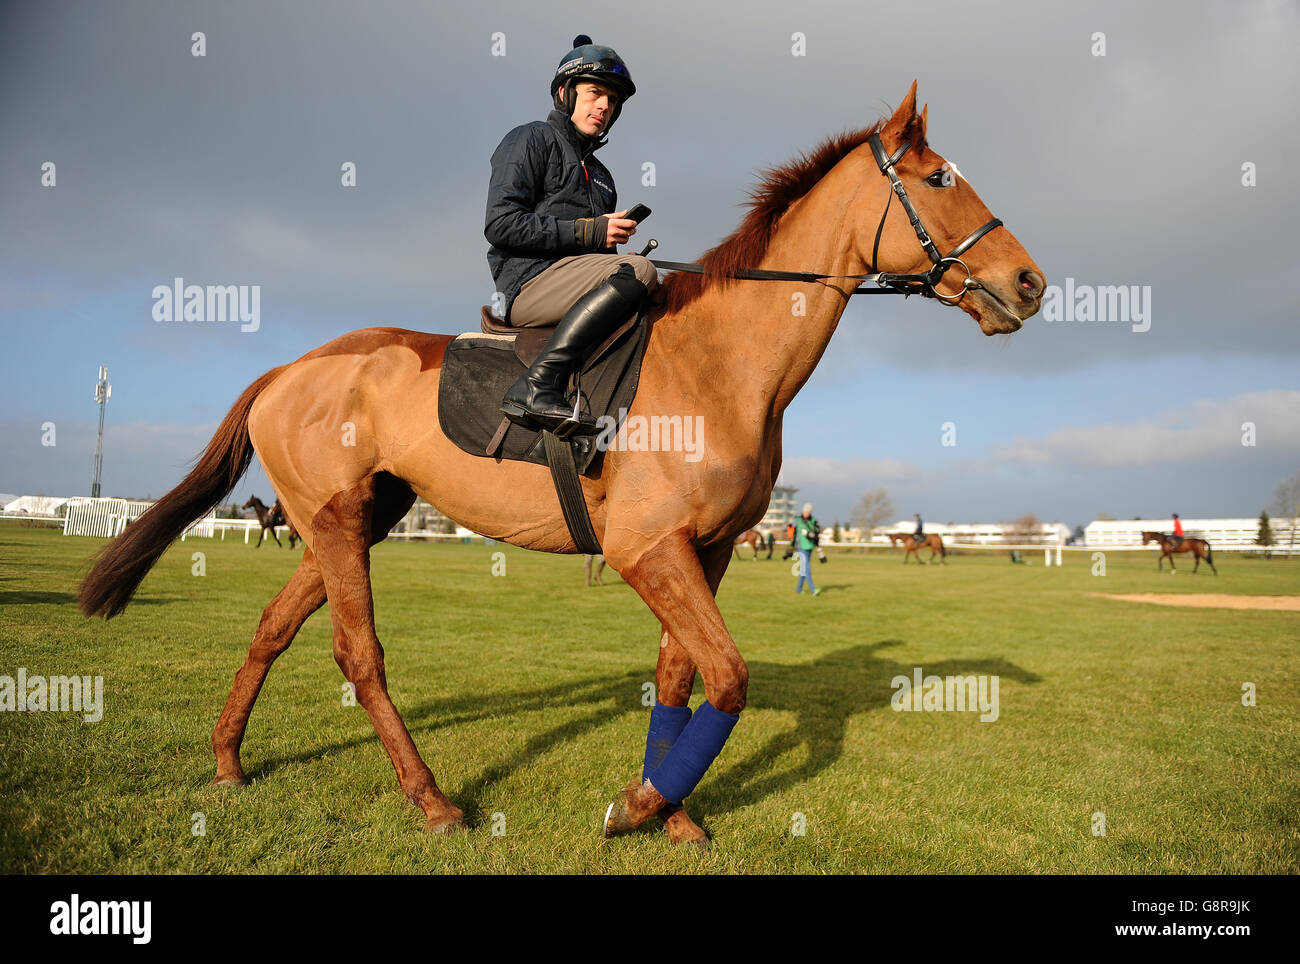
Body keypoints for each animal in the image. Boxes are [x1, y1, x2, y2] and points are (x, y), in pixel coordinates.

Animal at [77, 83, 1043, 846]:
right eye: (940, 180)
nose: (1031, 283)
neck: (722, 364)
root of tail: (291, 367)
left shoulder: (706, 551)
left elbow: (682, 678)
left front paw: (672, 813)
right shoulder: (645, 550)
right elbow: (729, 677)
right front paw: (639, 805)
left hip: (345, 522)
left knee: (274, 629)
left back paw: (229, 761)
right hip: (339, 524)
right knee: (361, 655)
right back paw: (432, 802)